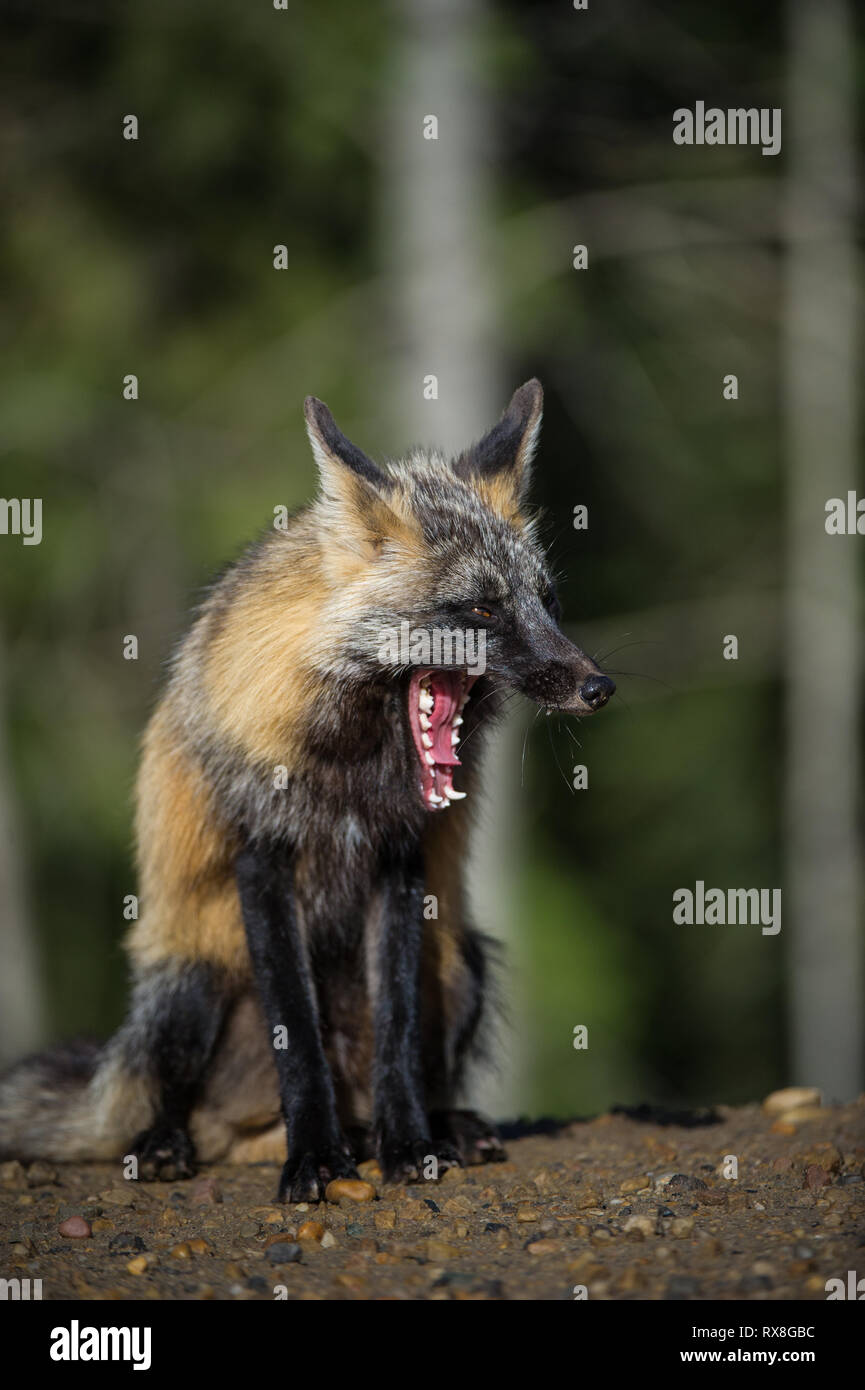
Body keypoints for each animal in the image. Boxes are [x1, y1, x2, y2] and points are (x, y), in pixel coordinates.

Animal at [0, 379, 614, 1202]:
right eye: (482, 608)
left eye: (547, 602)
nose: (599, 687)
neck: (349, 776)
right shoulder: (262, 859)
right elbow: (296, 1032)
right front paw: (317, 1156)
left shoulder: (399, 862)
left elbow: (397, 1033)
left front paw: (408, 1143)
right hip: (190, 985)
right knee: (179, 1107)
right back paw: (172, 1143)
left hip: (463, 959)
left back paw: (432, 1127)